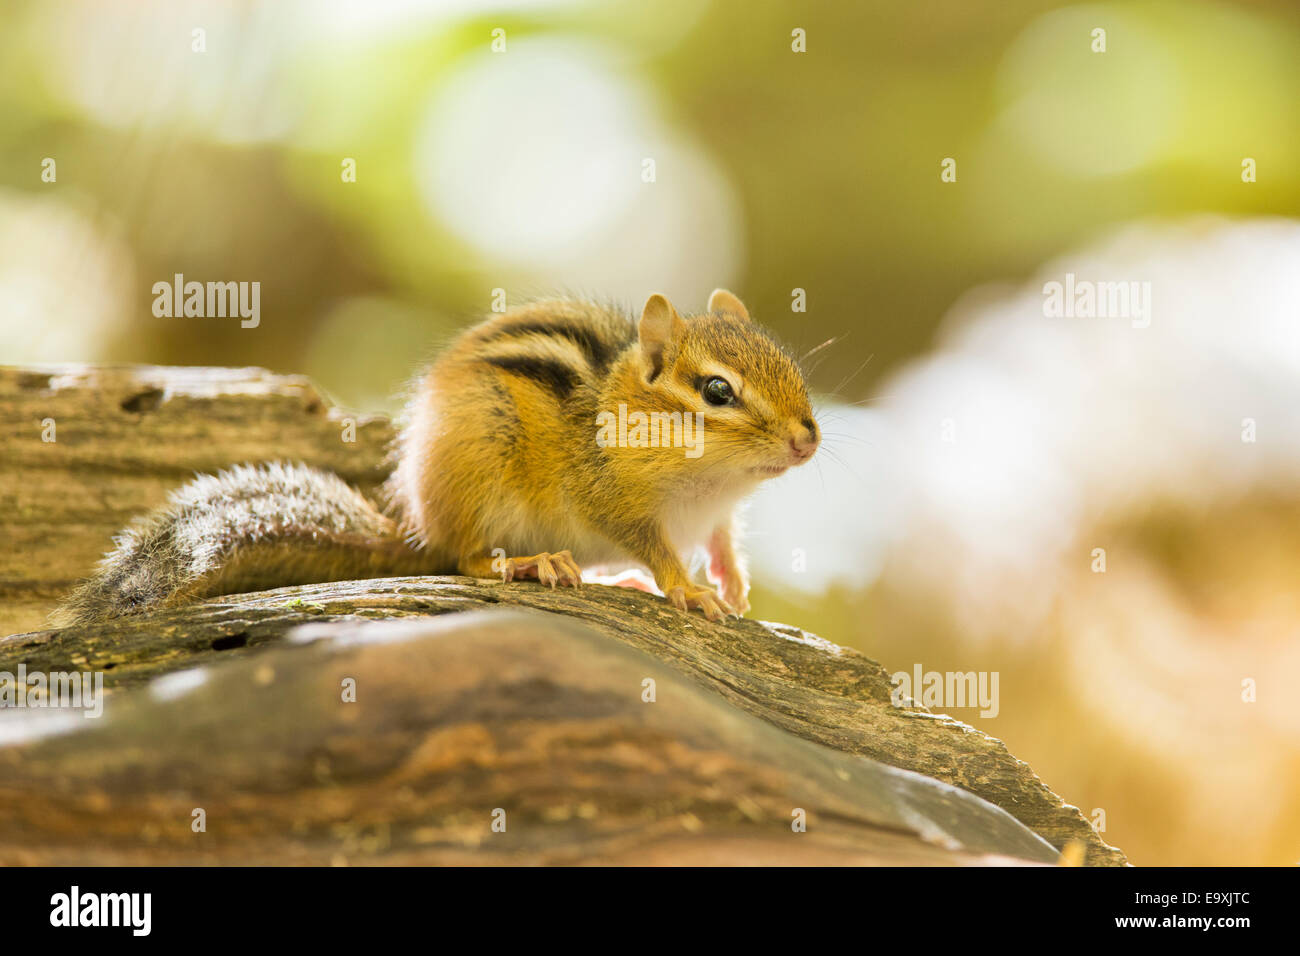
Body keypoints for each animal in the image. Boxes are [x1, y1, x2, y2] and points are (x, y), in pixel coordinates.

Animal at [53, 289, 820, 626]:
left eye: (790, 366)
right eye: (716, 390)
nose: (808, 439)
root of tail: (417, 524)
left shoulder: (716, 516)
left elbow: (722, 540)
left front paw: (731, 584)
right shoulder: (612, 500)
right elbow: (653, 545)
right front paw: (686, 589)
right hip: (482, 468)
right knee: (467, 560)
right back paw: (529, 562)